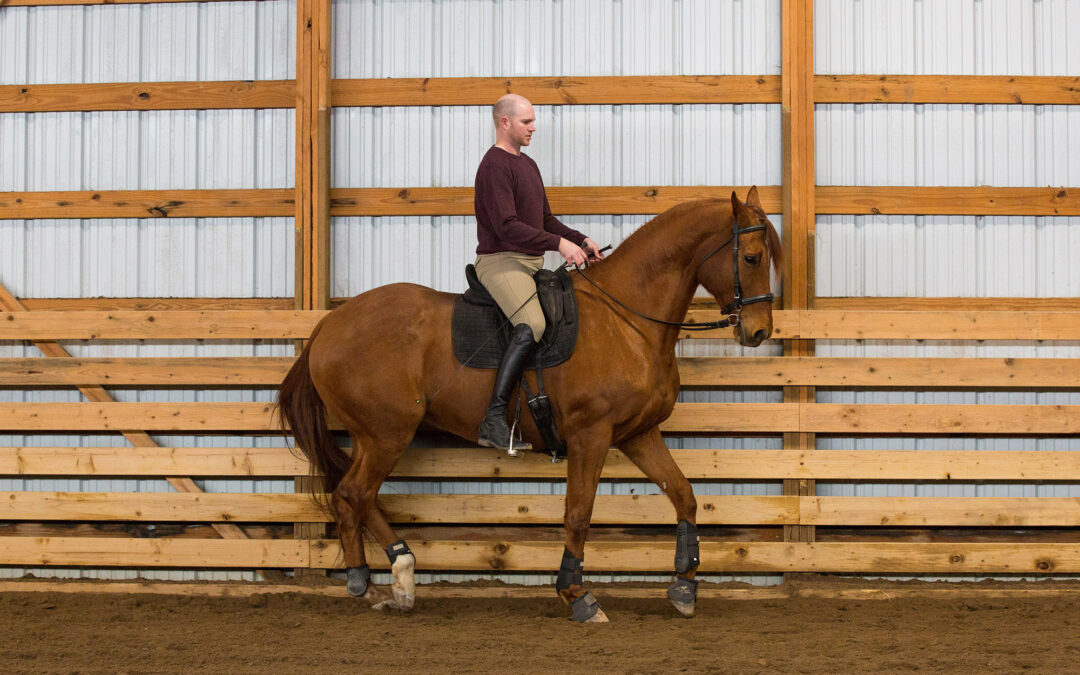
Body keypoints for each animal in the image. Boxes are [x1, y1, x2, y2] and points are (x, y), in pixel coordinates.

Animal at [277, 187, 782, 622]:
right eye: (751, 257)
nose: (758, 331)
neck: (628, 319)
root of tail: (328, 325)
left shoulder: (638, 434)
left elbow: (684, 495)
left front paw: (684, 586)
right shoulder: (590, 436)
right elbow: (578, 513)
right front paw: (577, 595)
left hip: (372, 436)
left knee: (351, 496)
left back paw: (383, 580)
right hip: (388, 434)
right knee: (355, 493)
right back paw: (386, 576)